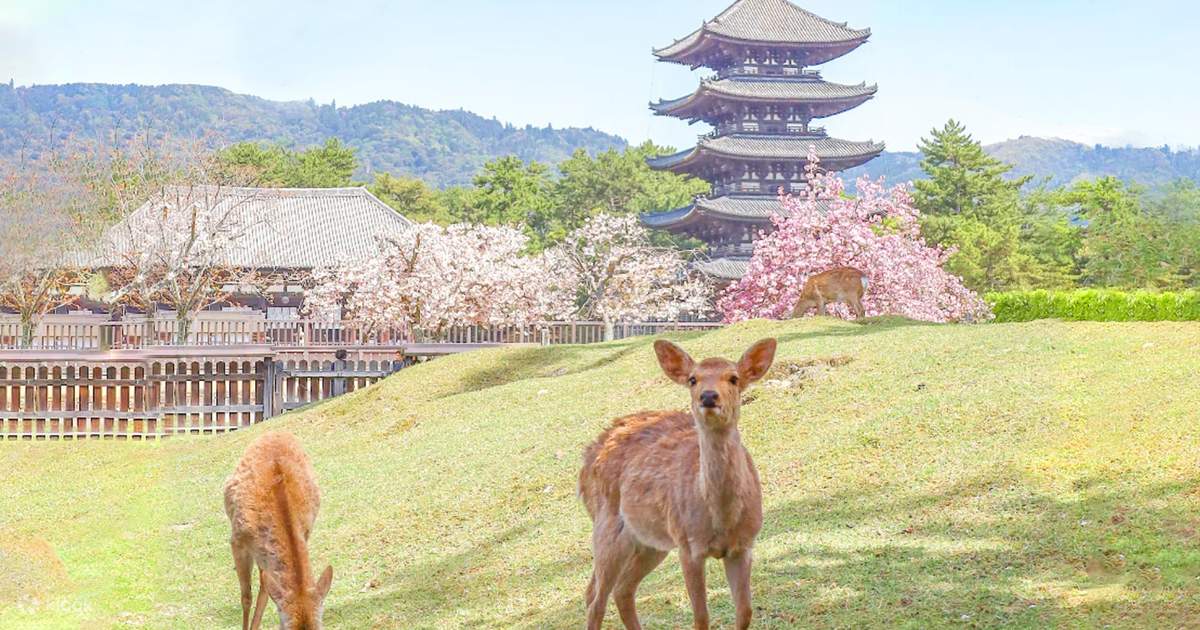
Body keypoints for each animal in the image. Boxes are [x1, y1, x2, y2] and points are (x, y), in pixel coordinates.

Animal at [224, 431, 333, 630]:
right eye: (288, 627)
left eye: (319, 627)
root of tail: (276, 432)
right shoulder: (237, 541)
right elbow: (246, 596)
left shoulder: (305, 532)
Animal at [579, 338, 777, 630]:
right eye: (693, 379)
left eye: (734, 378)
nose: (708, 396)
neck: (722, 520)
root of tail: (588, 456)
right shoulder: (688, 545)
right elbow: (701, 617)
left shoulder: (744, 545)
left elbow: (745, 612)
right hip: (607, 526)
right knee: (596, 598)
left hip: (650, 541)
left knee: (621, 589)